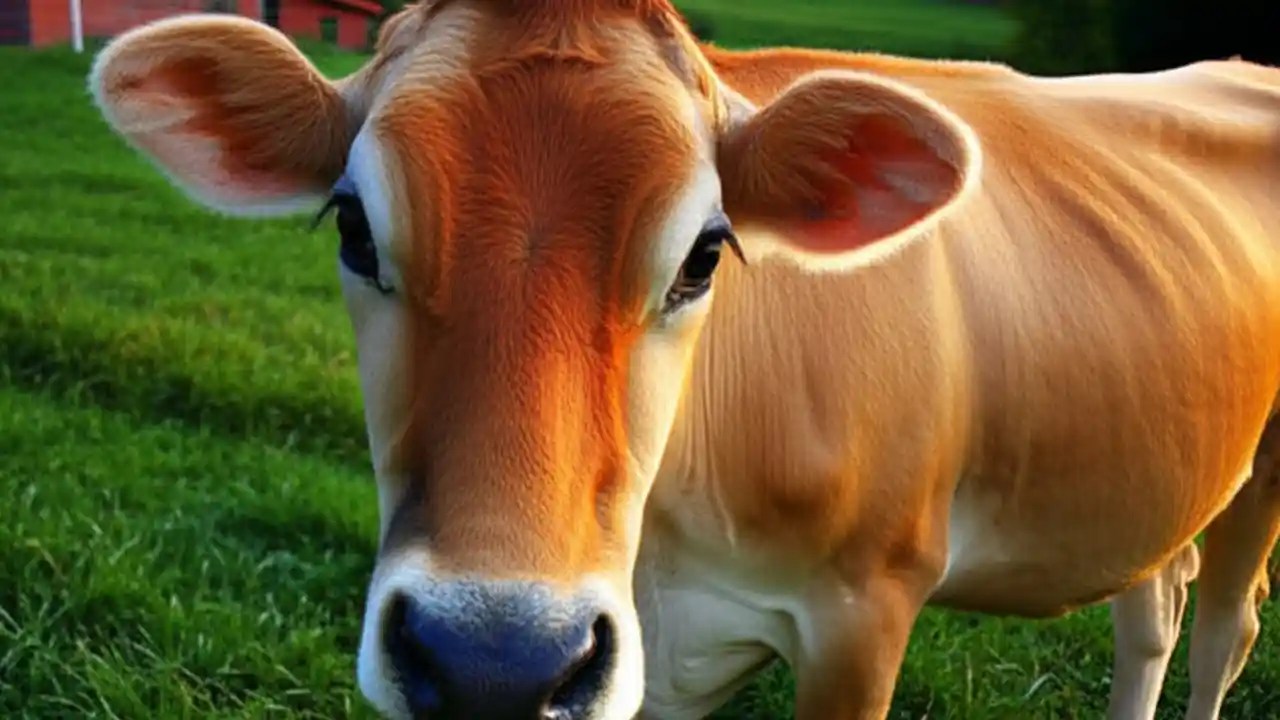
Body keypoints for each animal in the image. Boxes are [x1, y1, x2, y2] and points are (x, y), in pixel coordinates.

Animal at [87, 2, 1280, 719]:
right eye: (352, 226)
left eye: (707, 252)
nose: (490, 660)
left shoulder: (866, 610)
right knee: (1152, 604)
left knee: (1222, 628)